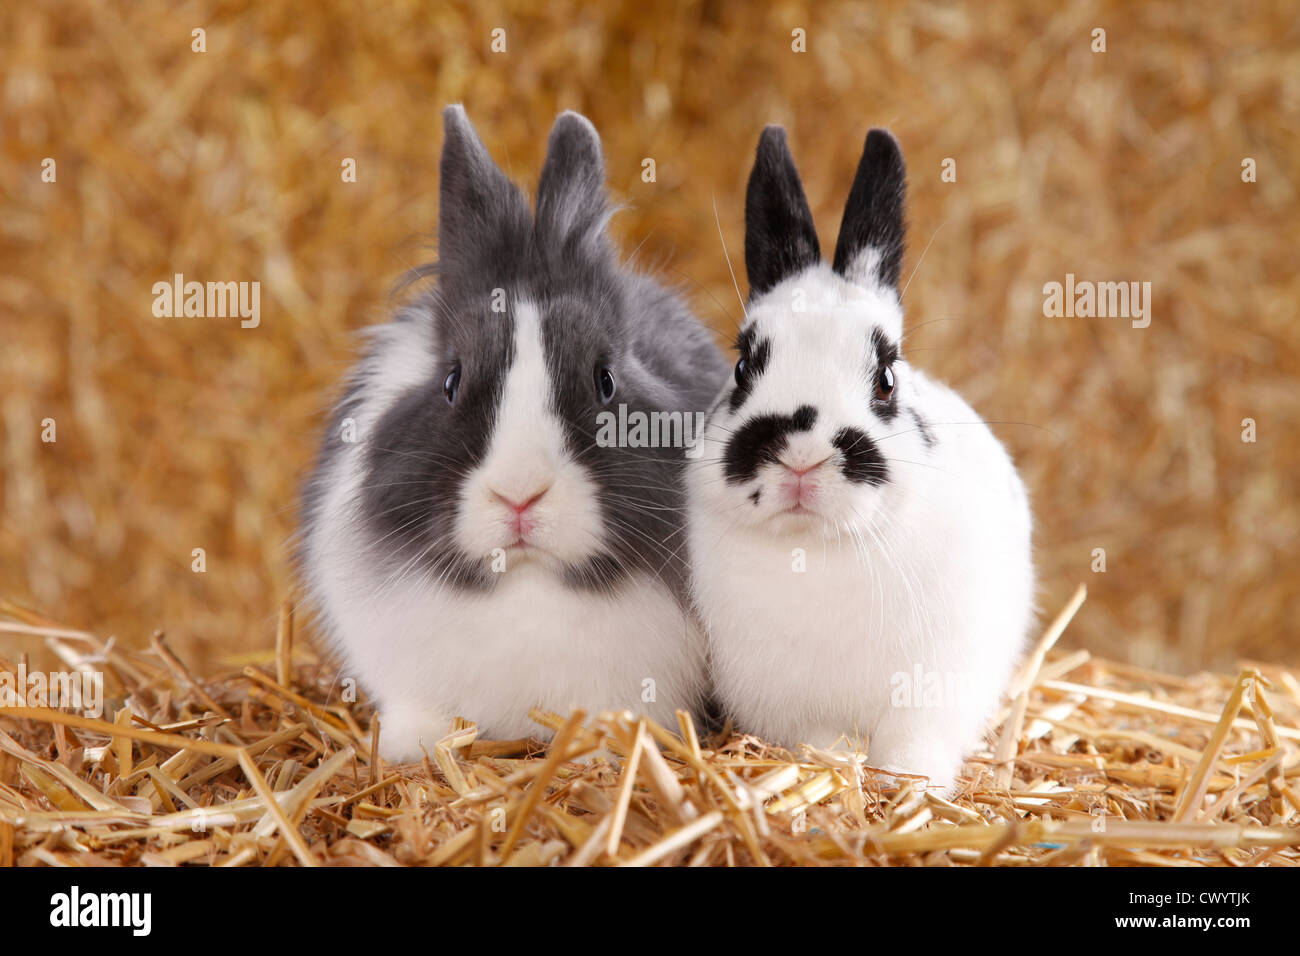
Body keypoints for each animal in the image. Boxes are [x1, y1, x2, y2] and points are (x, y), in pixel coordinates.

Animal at [685, 126, 1035, 793]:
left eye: (886, 378)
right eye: (742, 368)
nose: (800, 457)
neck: (818, 551)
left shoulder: (930, 694)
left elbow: (912, 745)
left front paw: (909, 783)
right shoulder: (792, 705)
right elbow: (823, 743)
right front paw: (842, 764)